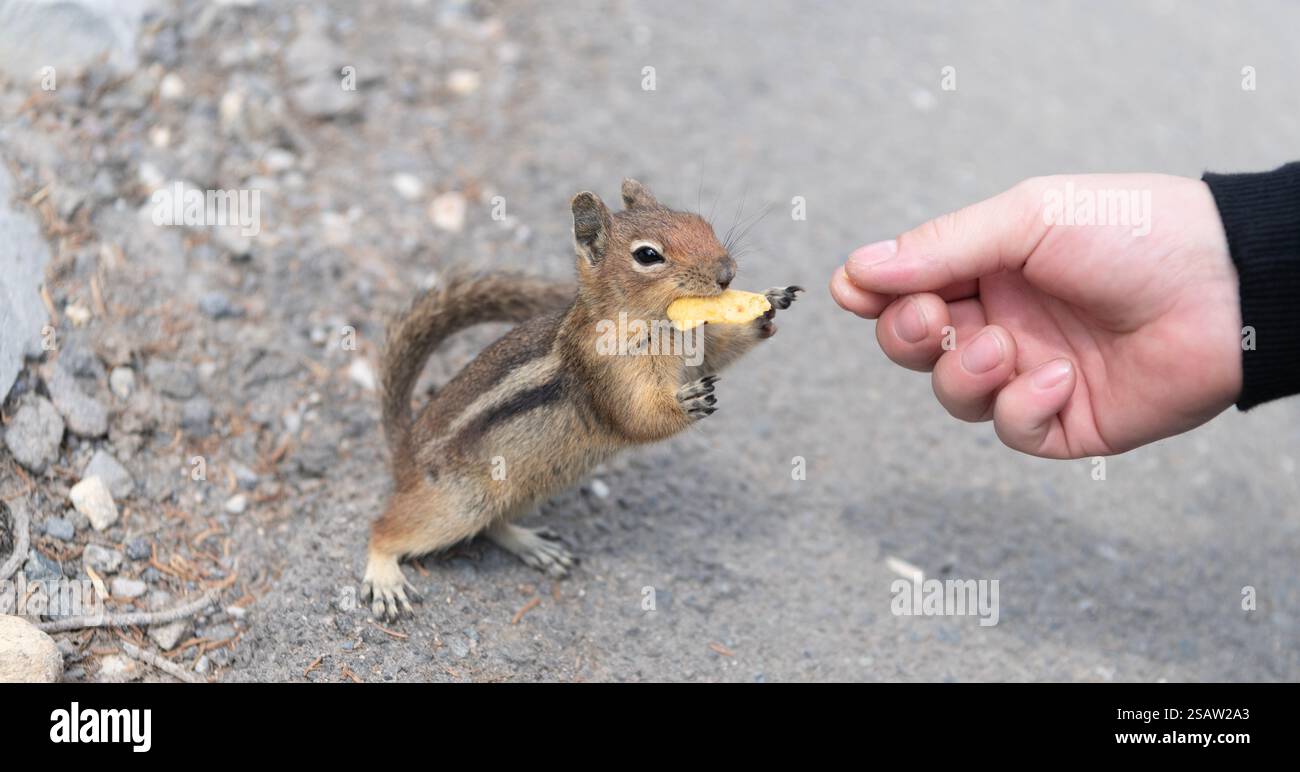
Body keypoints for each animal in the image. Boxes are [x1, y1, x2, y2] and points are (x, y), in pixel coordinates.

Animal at [362, 178, 801, 619]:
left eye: (701, 223)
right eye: (648, 255)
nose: (727, 274)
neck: (656, 325)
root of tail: (404, 451)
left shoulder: (697, 344)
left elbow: (717, 352)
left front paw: (770, 306)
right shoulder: (608, 373)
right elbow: (638, 418)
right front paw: (686, 401)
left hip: (534, 484)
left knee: (494, 525)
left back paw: (535, 547)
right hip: (461, 502)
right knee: (385, 528)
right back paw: (384, 577)